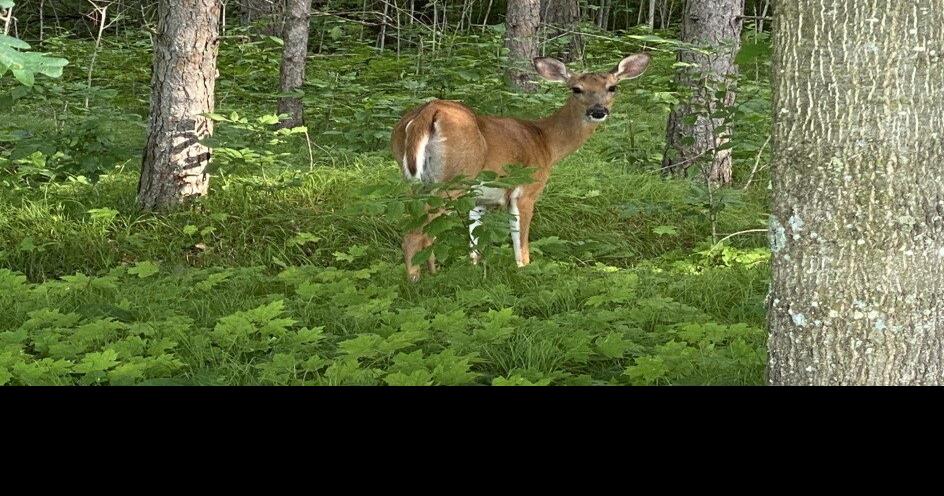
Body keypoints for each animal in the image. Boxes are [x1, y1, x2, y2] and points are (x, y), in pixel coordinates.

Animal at [390, 53, 651, 282]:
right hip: (454, 178)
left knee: (425, 231)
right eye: (576, 89)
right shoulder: (526, 190)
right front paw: (525, 270)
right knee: (413, 234)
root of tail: (427, 113)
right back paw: (414, 282)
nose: (598, 111)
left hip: (416, 182)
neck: (545, 142)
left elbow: (474, 241)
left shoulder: (480, 199)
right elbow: (521, 243)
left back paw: (432, 273)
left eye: (612, 87)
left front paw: (474, 269)